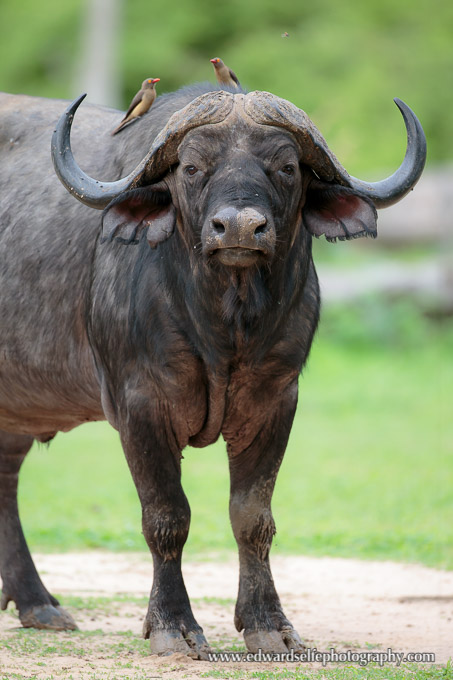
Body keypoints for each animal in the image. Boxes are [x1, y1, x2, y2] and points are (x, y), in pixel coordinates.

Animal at [0, 82, 426, 658]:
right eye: (192, 167)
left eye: (285, 166)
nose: (240, 227)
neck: (225, 326)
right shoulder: (140, 405)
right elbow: (167, 517)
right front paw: (174, 626)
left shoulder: (275, 401)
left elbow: (252, 516)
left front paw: (268, 623)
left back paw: (38, 603)